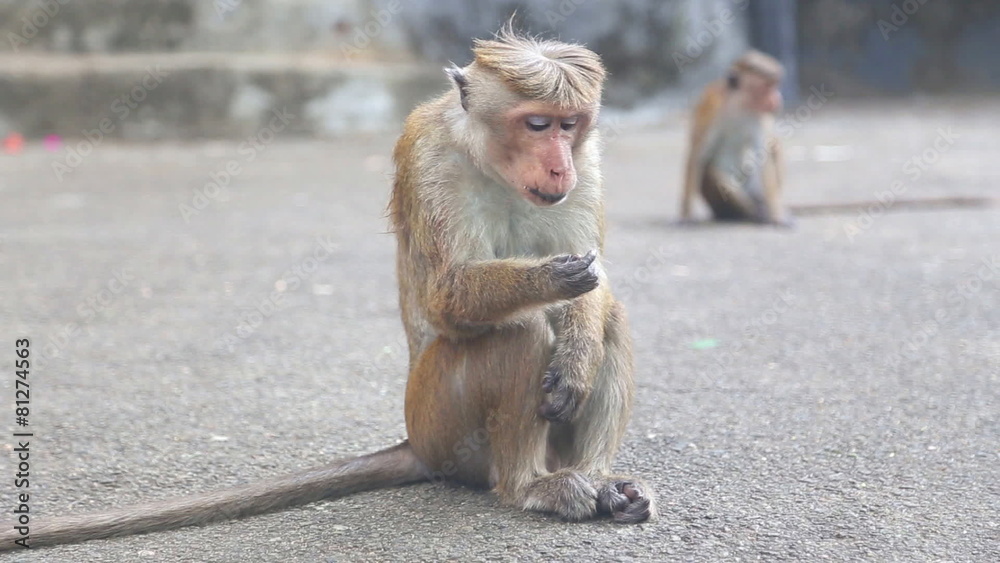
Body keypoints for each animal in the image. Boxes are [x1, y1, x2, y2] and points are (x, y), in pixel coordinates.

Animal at [1, 29, 653, 552]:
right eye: (537, 124)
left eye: (571, 125)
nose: (560, 165)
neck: (489, 162)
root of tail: (415, 442)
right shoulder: (429, 156)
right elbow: (449, 296)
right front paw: (552, 277)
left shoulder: (589, 165)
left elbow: (596, 294)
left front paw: (578, 352)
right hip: (443, 422)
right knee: (518, 330)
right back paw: (529, 488)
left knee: (609, 319)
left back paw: (601, 482)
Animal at [680, 49, 790, 226]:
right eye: (767, 87)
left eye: (775, 85)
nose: (777, 98)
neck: (739, 103)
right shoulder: (711, 108)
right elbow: (697, 155)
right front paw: (686, 215)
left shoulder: (759, 115)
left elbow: (764, 154)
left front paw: (777, 214)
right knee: (713, 172)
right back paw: (746, 213)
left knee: (774, 146)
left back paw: (761, 209)